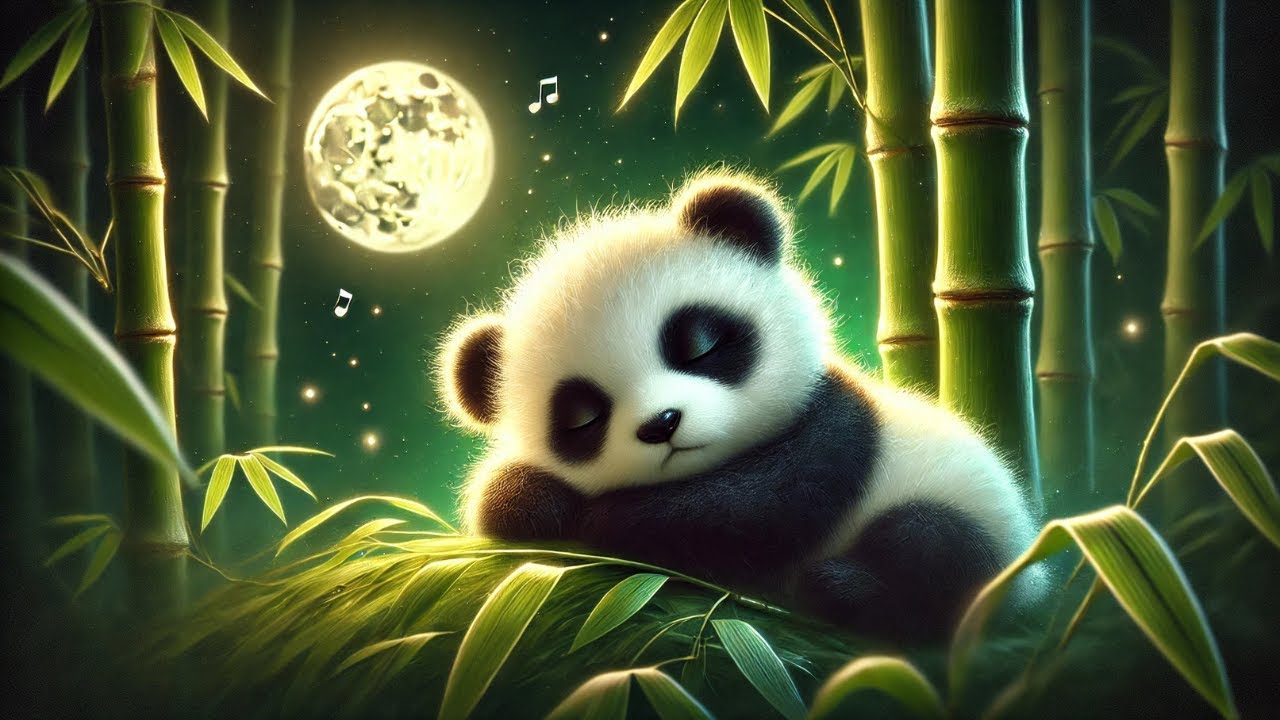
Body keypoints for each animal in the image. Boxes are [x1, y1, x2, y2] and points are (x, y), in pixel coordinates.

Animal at [436, 170, 1045, 642]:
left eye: (699, 344)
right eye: (582, 416)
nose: (662, 424)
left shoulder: (839, 417)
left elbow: (771, 500)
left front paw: (611, 518)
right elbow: (500, 505)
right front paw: (530, 498)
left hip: (983, 524)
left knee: (930, 541)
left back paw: (845, 590)